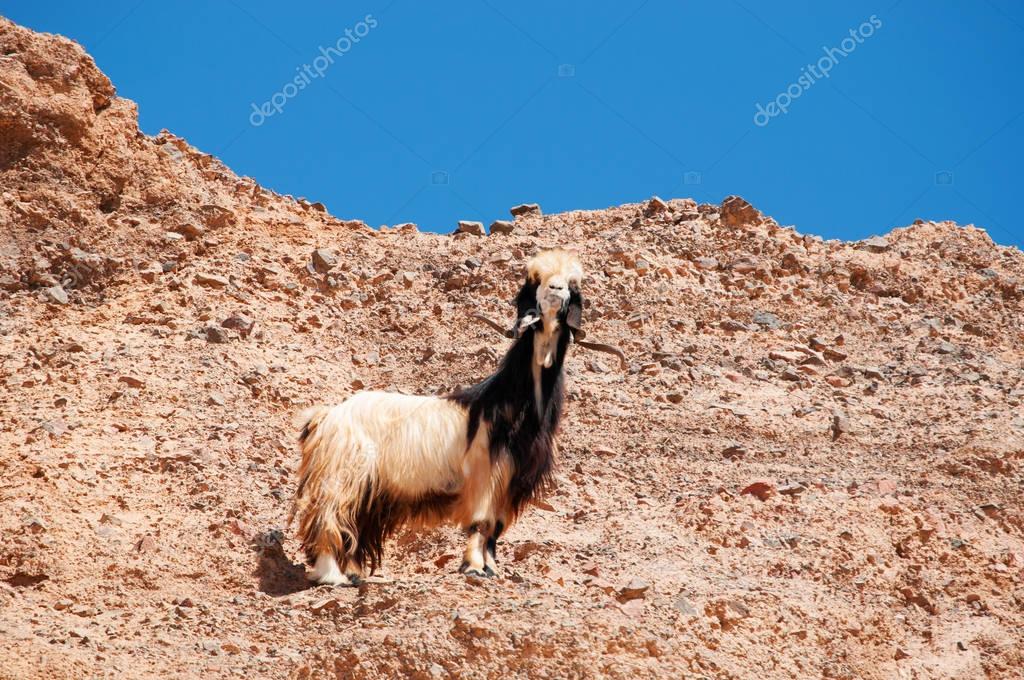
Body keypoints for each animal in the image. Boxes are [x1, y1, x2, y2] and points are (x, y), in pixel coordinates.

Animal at [291, 249, 593, 585]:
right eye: (534, 281)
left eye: (573, 285)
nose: (555, 290)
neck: (510, 402)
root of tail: (325, 416)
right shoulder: (486, 475)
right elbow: (480, 523)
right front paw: (473, 567)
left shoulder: (510, 483)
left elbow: (495, 530)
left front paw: (492, 569)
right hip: (341, 476)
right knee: (329, 518)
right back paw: (332, 575)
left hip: (368, 489)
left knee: (356, 525)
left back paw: (353, 573)